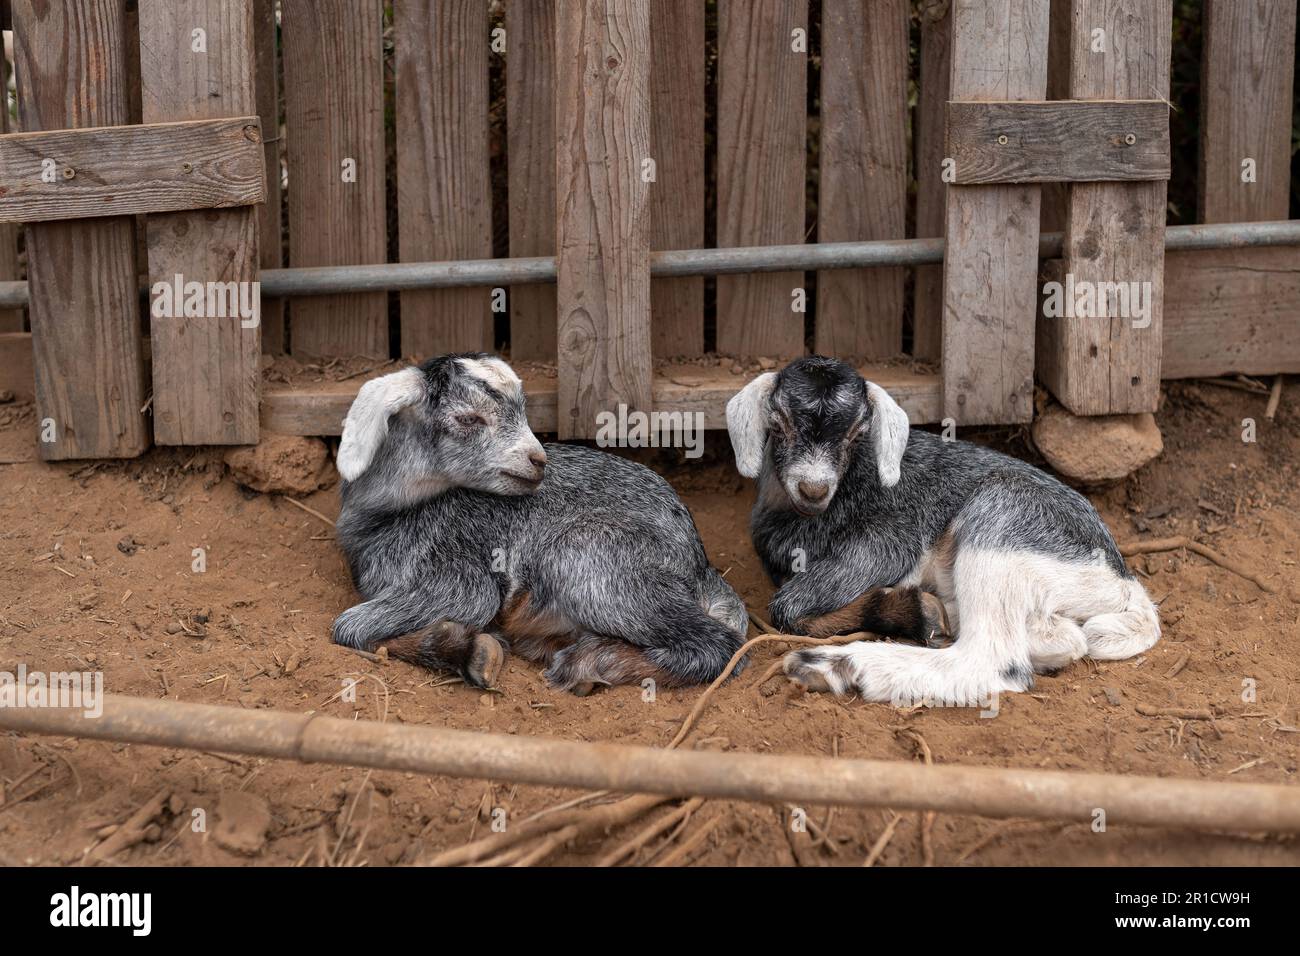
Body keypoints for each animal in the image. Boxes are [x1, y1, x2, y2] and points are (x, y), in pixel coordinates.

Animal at [331, 353, 748, 694]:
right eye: (468, 419)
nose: (537, 460)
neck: (383, 518)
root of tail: (699, 560)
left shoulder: (457, 577)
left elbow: (348, 627)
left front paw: (474, 651)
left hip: (591, 558)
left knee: (722, 645)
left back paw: (588, 663)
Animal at [726, 355, 1159, 707]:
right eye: (779, 423)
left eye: (856, 433)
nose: (813, 488)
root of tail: (1123, 581)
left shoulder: (889, 537)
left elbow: (788, 606)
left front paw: (910, 611)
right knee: (1062, 639)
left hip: (1003, 519)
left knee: (991, 659)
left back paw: (839, 665)